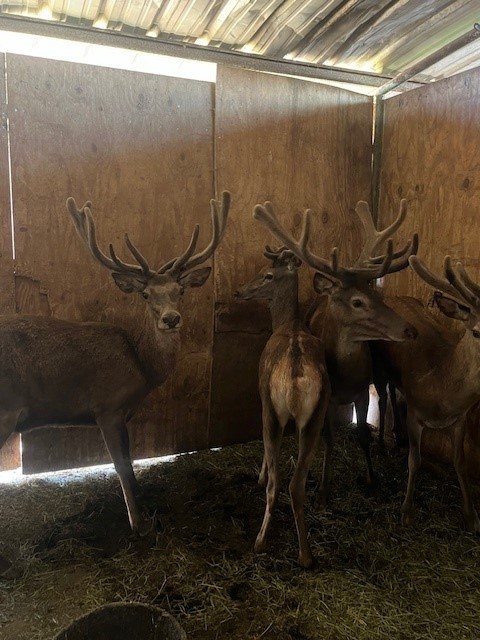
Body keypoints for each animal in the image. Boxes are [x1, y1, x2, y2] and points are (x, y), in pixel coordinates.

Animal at [0, 191, 231, 563]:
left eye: (180, 290)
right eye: (146, 294)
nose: (171, 319)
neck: (142, 366)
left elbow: (130, 465)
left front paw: (148, 513)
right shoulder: (107, 407)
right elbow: (122, 466)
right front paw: (140, 525)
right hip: (5, 408)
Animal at [235, 243, 331, 568]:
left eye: (267, 274)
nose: (239, 291)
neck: (287, 324)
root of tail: (296, 376)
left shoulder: (261, 397)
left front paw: (260, 473)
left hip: (272, 409)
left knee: (276, 484)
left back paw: (260, 541)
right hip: (316, 414)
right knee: (296, 484)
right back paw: (306, 554)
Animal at [252, 201, 418, 505]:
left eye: (377, 296)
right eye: (357, 302)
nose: (410, 330)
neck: (346, 379)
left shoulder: (362, 391)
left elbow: (362, 434)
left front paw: (372, 479)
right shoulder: (327, 398)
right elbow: (328, 439)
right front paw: (323, 487)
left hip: (379, 373)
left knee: (385, 395)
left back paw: (390, 440)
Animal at [375, 255, 480, 533]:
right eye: (477, 331)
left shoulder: (460, 419)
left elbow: (460, 463)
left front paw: (471, 516)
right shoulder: (416, 413)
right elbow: (415, 460)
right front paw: (406, 511)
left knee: (394, 392)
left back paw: (396, 434)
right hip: (378, 365)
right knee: (382, 395)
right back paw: (382, 443)